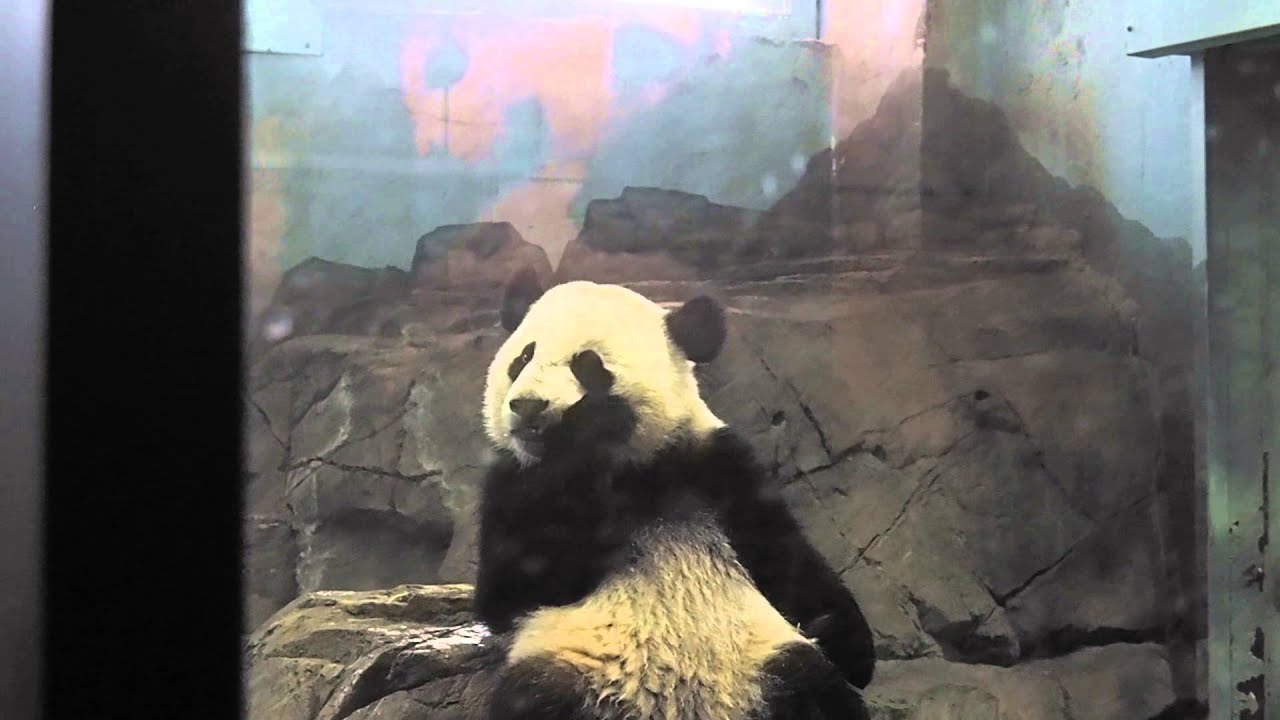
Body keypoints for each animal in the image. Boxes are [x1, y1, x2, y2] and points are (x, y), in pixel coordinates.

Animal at [474, 267, 875, 720]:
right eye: (523, 358)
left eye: (587, 365)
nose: (528, 405)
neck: (637, 473)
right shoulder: (511, 481)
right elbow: (509, 591)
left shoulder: (713, 466)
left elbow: (784, 557)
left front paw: (849, 643)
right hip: (570, 669)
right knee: (533, 695)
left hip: (767, 665)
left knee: (817, 687)